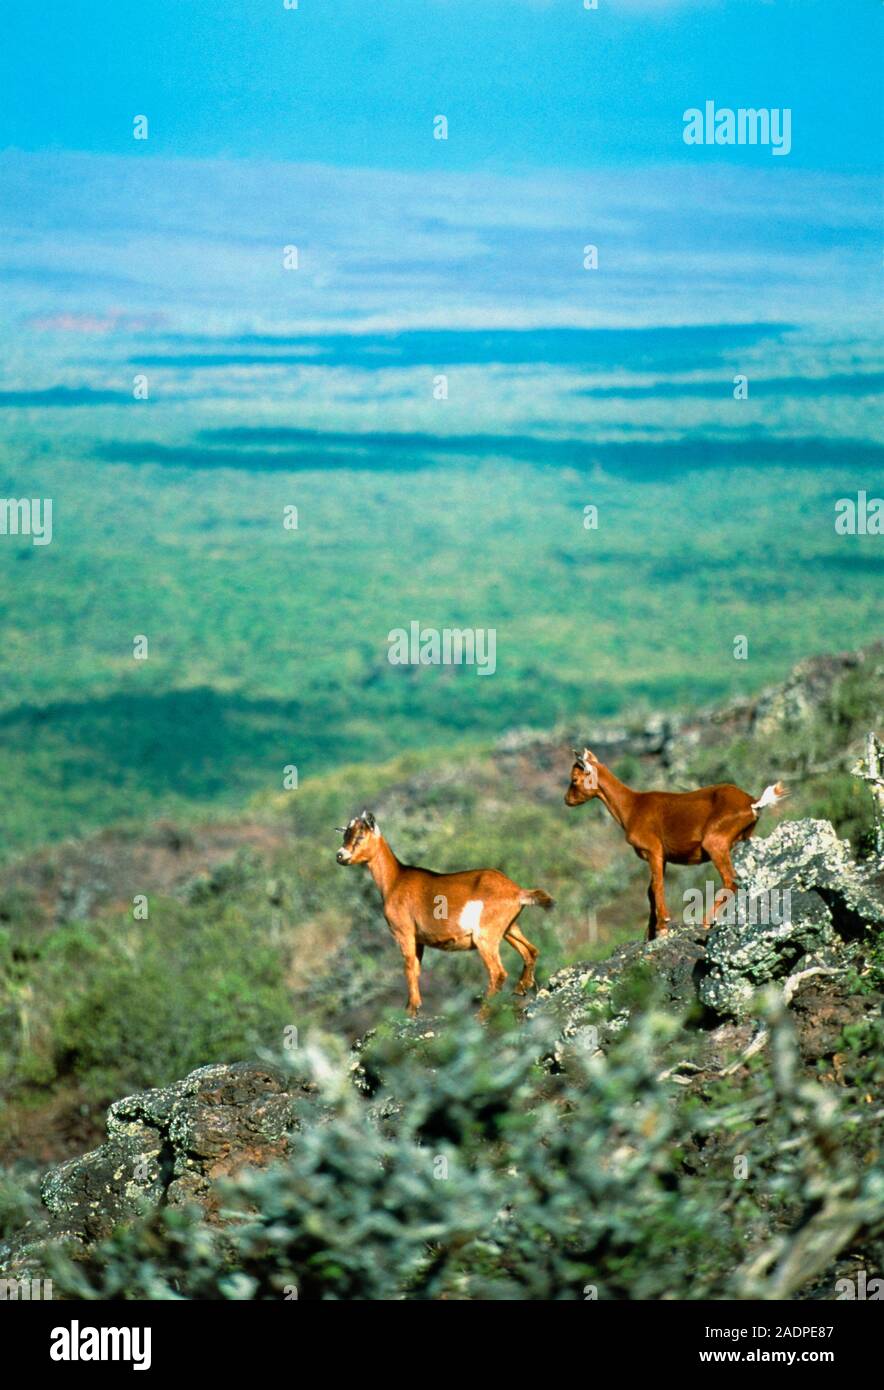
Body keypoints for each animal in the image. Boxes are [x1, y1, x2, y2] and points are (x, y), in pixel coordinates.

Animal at [336, 812, 554, 1014]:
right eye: (345, 834)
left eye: (360, 835)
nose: (340, 855)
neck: (395, 880)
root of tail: (518, 892)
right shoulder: (419, 939)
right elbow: (416, 969)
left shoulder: (403, 932)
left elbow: (408, 968)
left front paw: (410, 1010)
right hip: (508, 927)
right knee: (531, 951)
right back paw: (520, 989)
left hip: (485, 936)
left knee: (498, 973)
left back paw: (481, 1015)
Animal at [564, 749, 787, 939]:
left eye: (574, 779)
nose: (567, 800)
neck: (632, 807)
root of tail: (752, 803)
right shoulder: (661, 856)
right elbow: (650, 890)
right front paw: (650, 933)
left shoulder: (653, 850)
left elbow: (657, 886)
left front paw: (662, 926)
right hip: (743, 841)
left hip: (715, 842)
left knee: (731, 880)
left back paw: (706, 921)